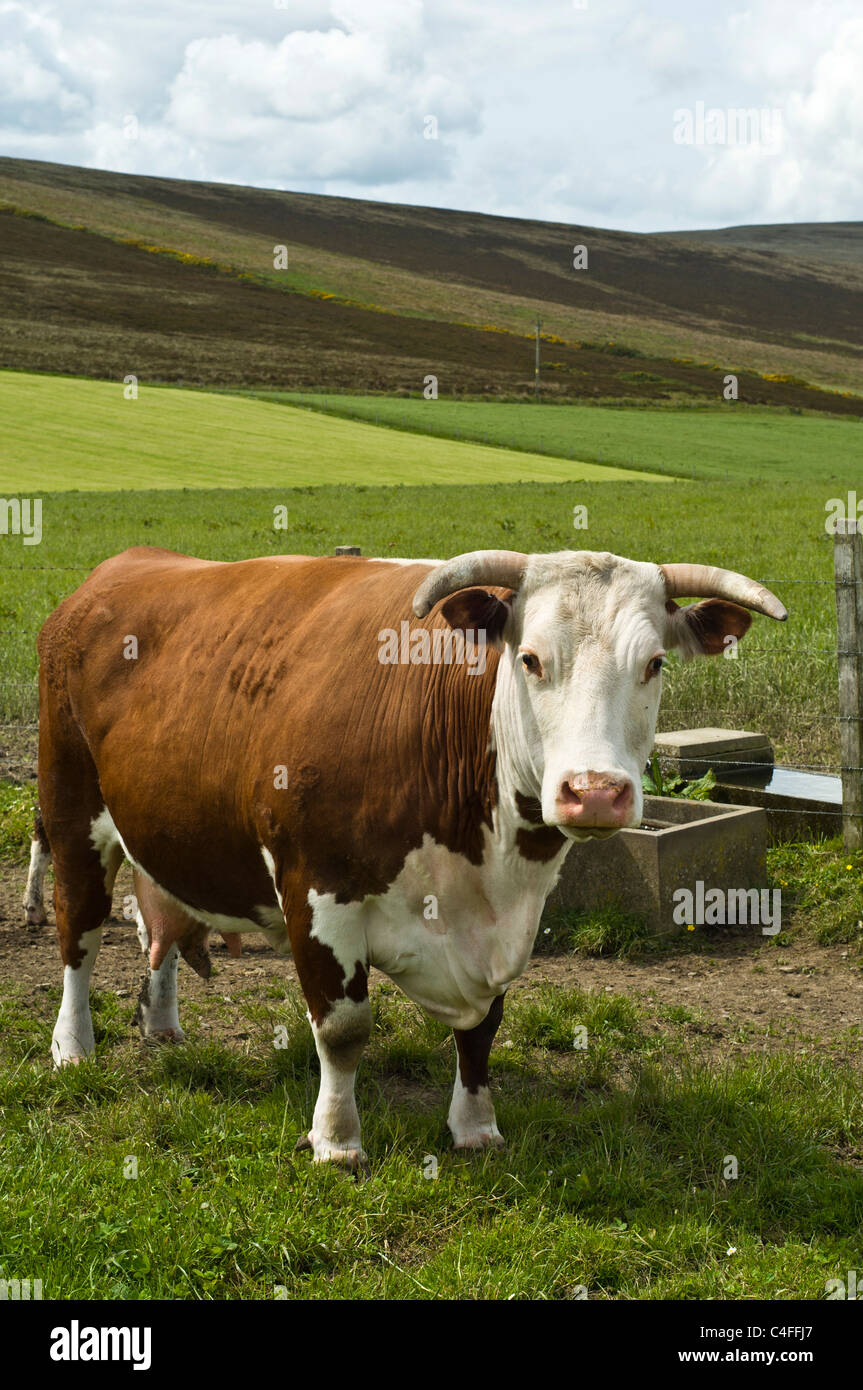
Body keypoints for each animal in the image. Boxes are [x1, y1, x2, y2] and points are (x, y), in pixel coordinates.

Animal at [33, 545, 785, 1168]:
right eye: (530, 659)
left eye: (653, 665)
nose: (594, 792)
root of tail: (122, 568)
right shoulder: (317, 888)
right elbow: (342, 1028)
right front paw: (337, 1140)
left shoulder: (507, 919)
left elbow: (483, 1030)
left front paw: (475, 1127)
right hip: (70, 813)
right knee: (79, 932)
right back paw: (73, 1046)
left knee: (156, 928)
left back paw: (162, 1024)